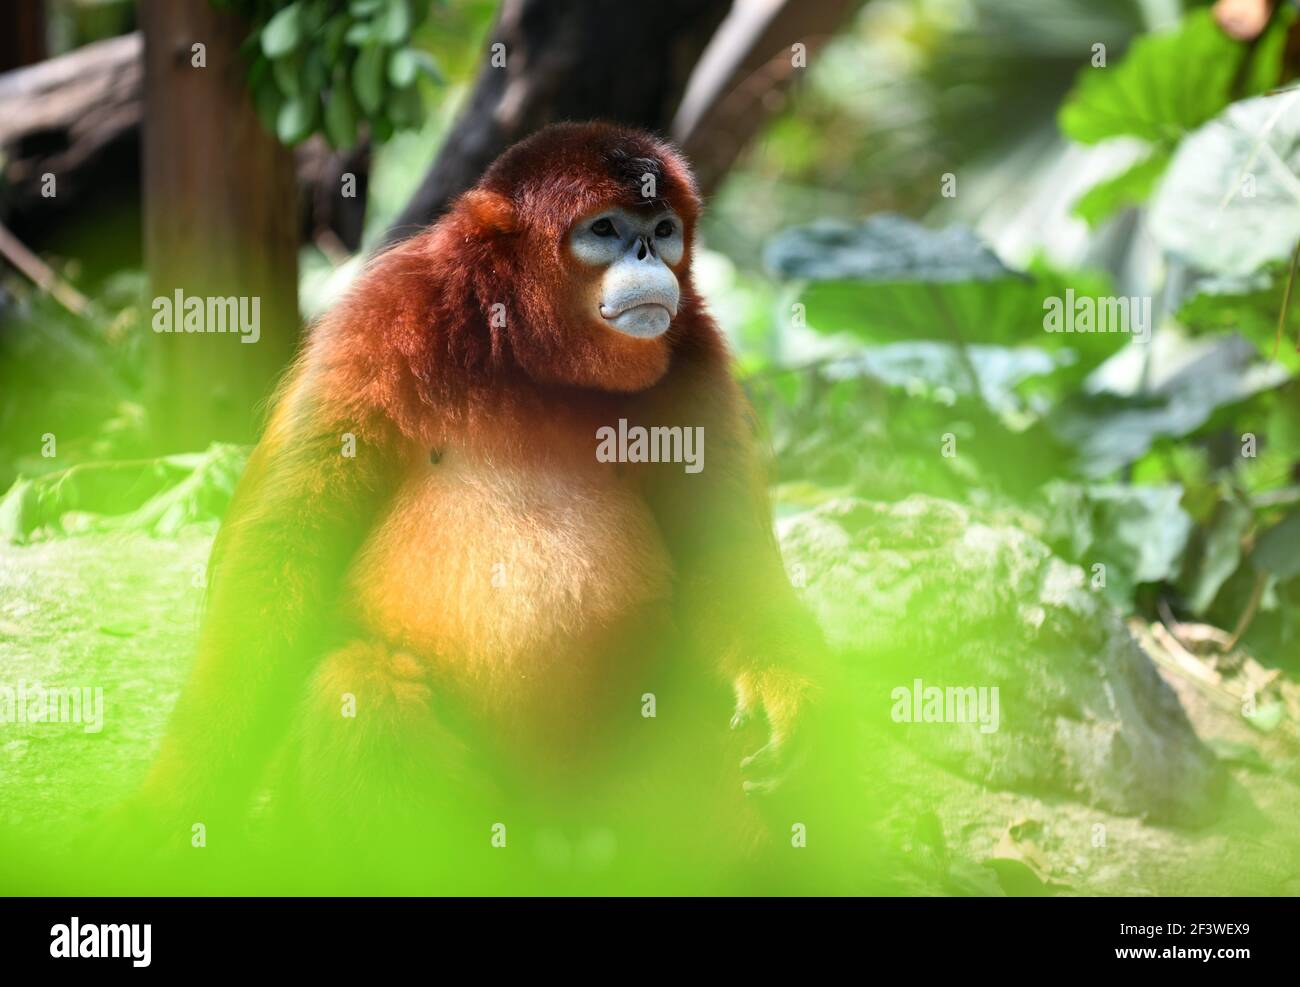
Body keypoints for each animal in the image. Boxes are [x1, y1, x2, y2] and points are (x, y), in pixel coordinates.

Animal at [122, 122, 842, 892]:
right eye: (606, 230)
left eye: (664, 230)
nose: (649, 254)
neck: (528, 359)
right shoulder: (379, 317)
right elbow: (280, 567)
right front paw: (172, 818)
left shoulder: (697, 351)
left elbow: (724, 560)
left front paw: (787, 691)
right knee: (361, 686)